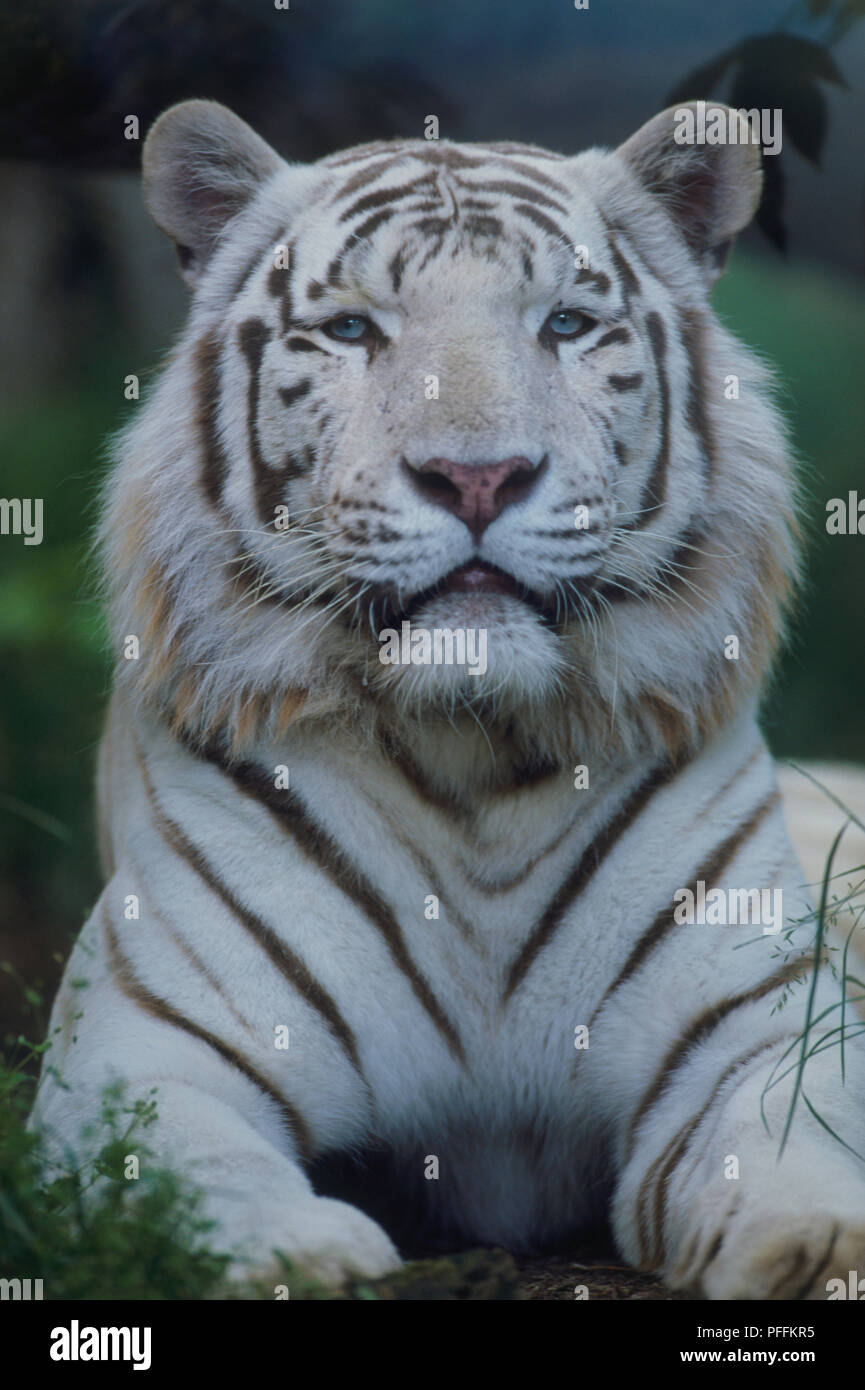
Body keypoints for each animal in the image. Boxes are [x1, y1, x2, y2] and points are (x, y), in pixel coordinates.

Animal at [31, 97, 865, 1300]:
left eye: (566, 324)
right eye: (350, 330)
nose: (478, 478)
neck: (474, 753)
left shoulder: (754, 1030)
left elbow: (796, 1148)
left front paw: (816, 1251)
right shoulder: (152, 1049)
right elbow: (195, 1176)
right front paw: (300, 1257)